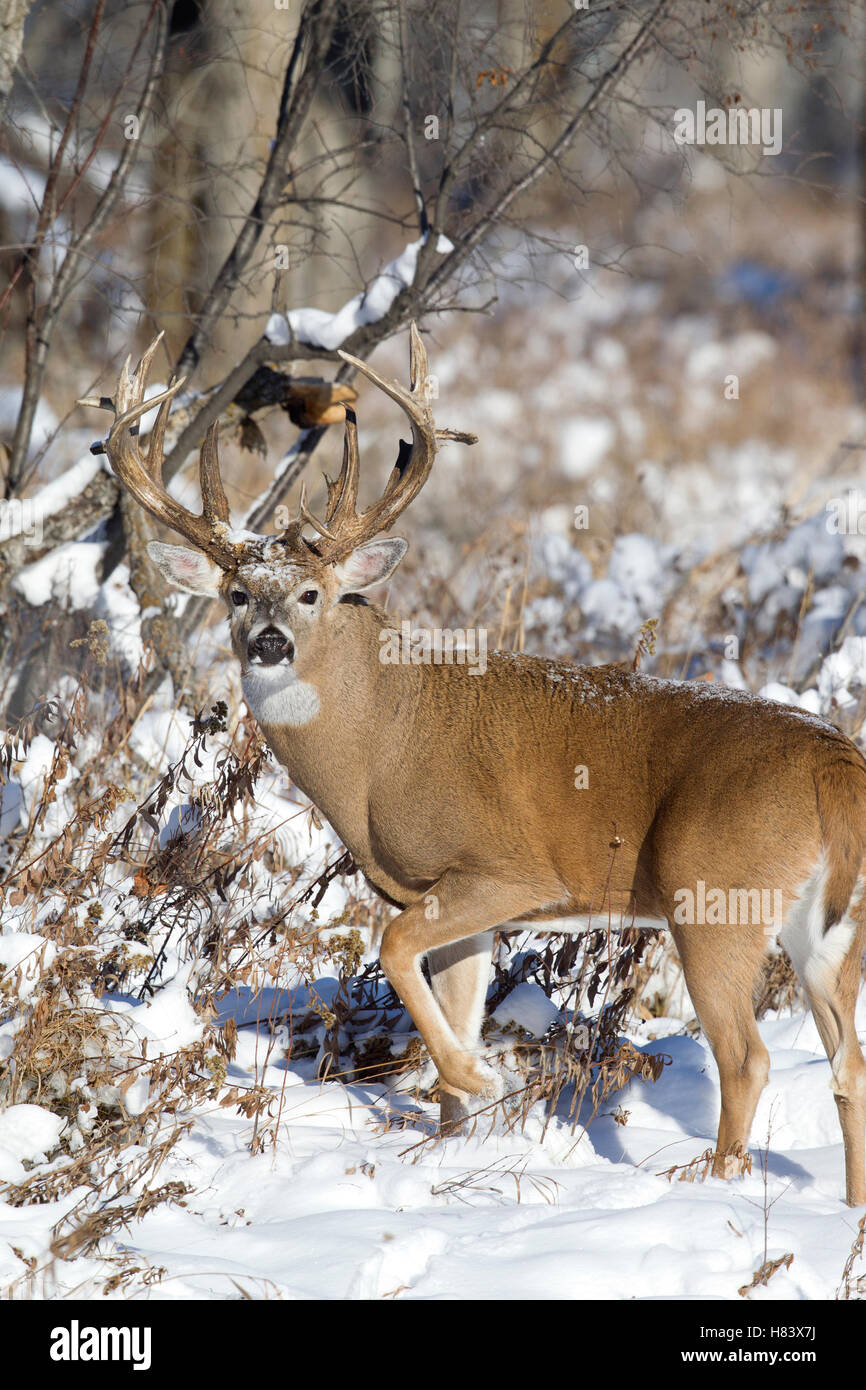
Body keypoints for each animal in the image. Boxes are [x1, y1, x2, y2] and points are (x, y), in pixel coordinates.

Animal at [81, 326, 866, 1206]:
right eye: (237, 594)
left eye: (313, 593)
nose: (270, 642)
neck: (381, 745)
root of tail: (836, 766)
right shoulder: (455, 900)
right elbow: (447, 1002)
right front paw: (455, 1145)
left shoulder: (505, 869)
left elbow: (392, 947)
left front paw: (481, 1078)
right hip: (828, 921)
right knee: (849, 1064)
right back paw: (845, 1210)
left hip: (714, 896)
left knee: (747, 1058)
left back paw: (716, 1185)